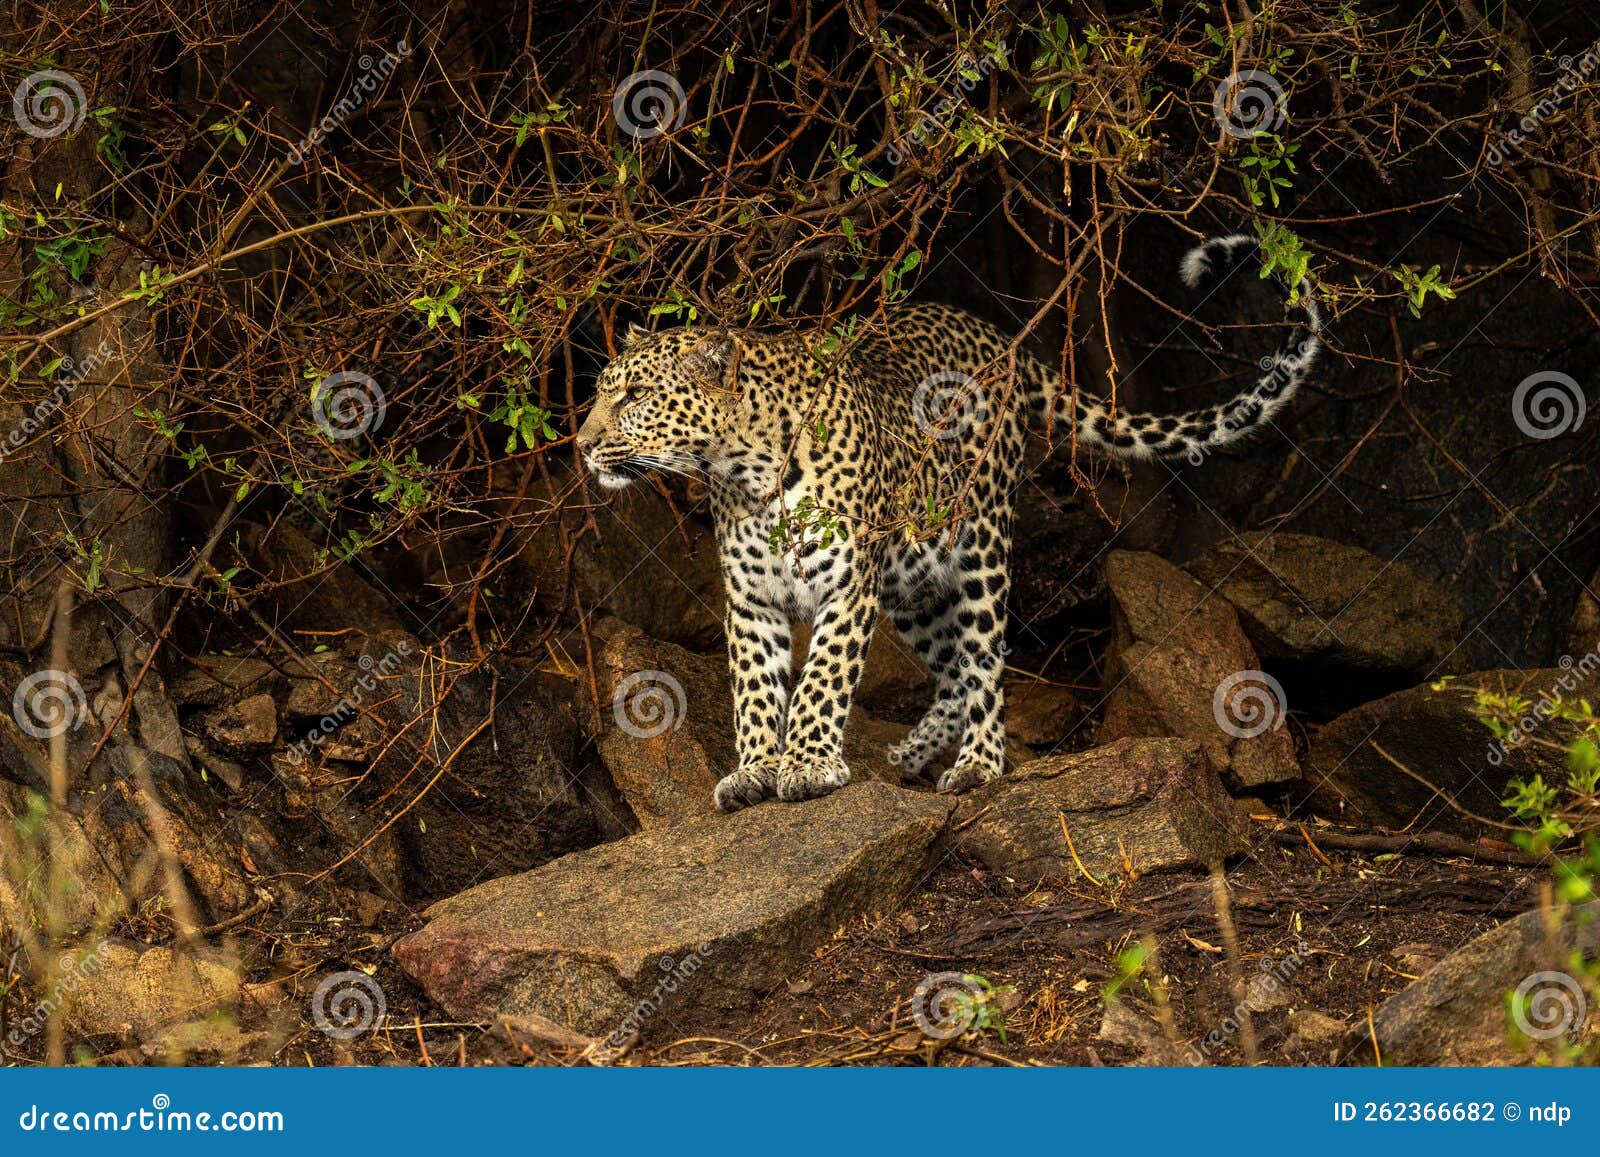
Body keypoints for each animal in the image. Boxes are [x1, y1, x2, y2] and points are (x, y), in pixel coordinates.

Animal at [576, 233, 1323, 813]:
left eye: (635, 396)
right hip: (912, 583)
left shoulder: (847, 585)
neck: (744, 469)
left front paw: (808, 765)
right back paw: (915, 747)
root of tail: (1005, 342)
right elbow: (756, 688)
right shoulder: (753, 598)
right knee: (951, 669)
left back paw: (978, 764)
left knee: (985, 661)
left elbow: (821, 678)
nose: (581, 444)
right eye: (604, 393)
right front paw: (755, 770)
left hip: (981, 545)